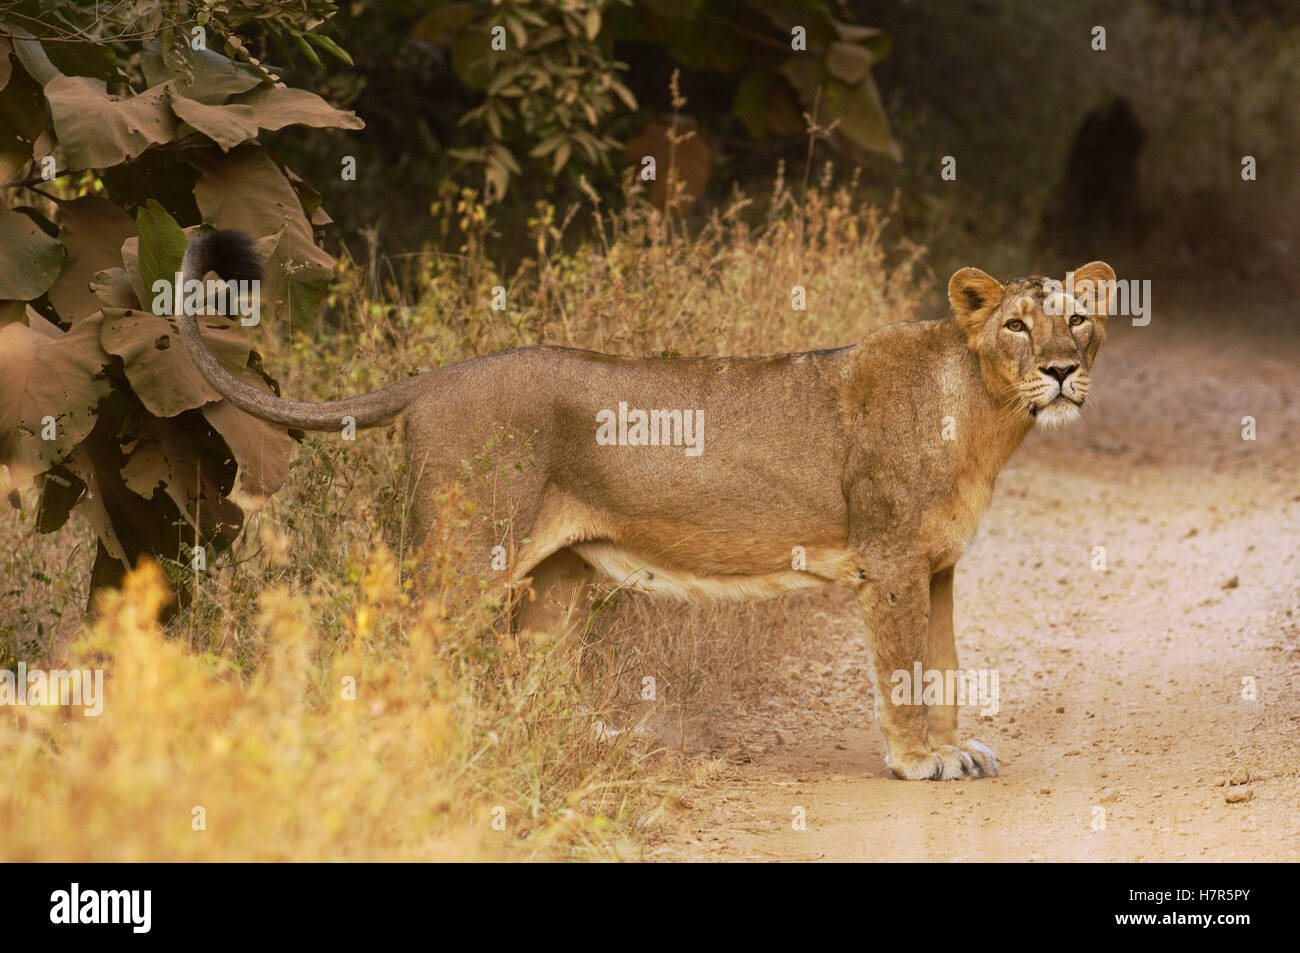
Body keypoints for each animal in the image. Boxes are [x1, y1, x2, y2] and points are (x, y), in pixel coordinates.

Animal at [178, 230, 1114, 780]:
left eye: (1078, 320)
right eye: (1018, 326)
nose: (1063, 370)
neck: (989, 414)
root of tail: (436, 376)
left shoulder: (938, 564)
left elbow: (943, 664)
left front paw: (954, 749)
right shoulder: (887, 561)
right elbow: (904, 670)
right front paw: (921, 762)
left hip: (555, 576)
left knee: (525, 674)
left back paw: (574, 745)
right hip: (465, 550)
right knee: (393, 643)